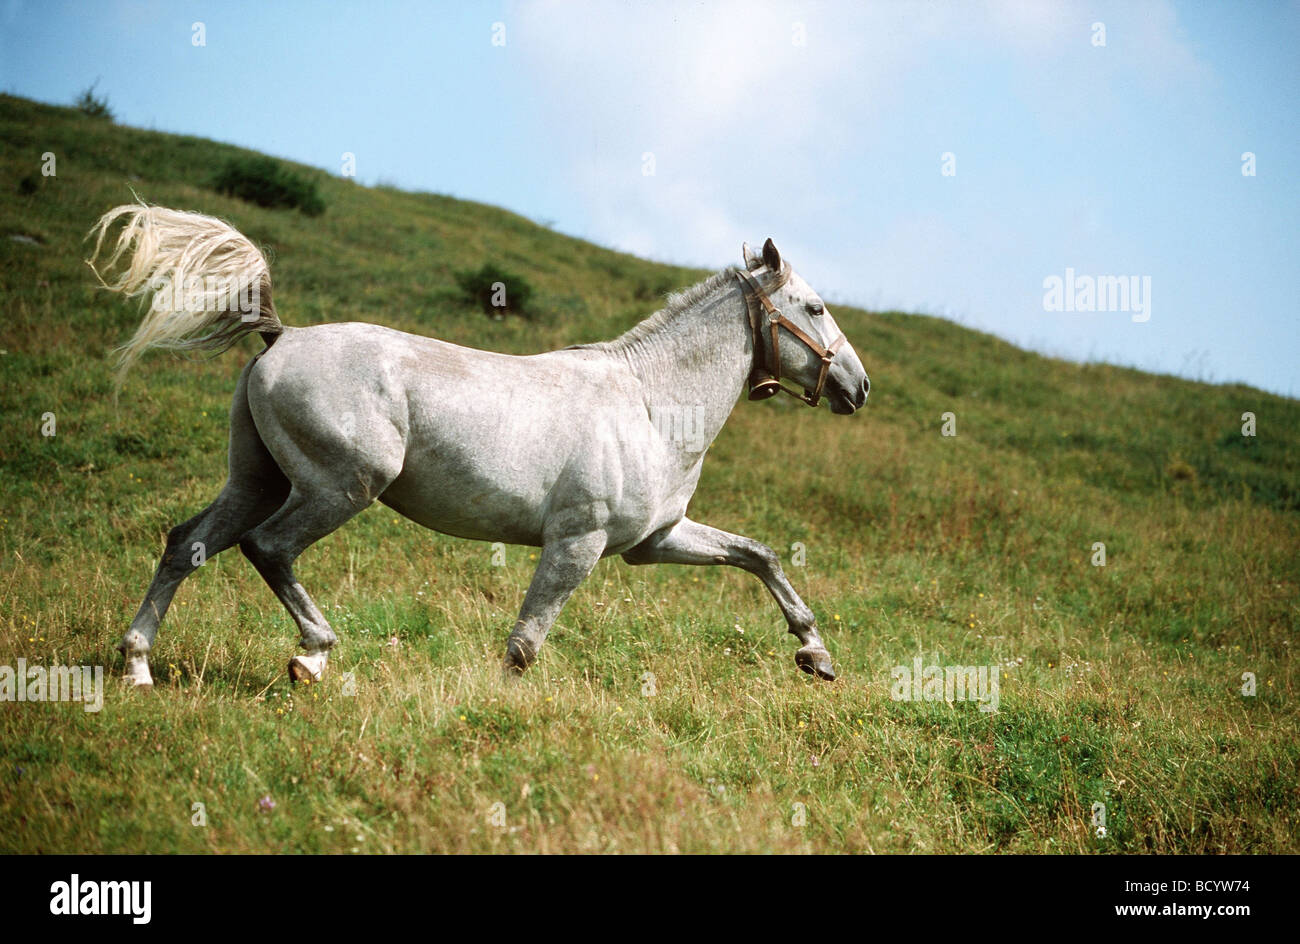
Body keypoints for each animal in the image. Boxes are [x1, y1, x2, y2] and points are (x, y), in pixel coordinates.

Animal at [88, 204, 869, 688]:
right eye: (814, 307)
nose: (858, 387)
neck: (649, 404)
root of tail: (281, 336)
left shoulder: (656, 541)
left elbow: (758, 555)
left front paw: (815, 654)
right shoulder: (577, 544)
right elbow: (524, 645)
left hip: (258, 481)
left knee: (186, 543)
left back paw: (138, 665)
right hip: (340, 487)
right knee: (268, 549)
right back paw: (313, 657)